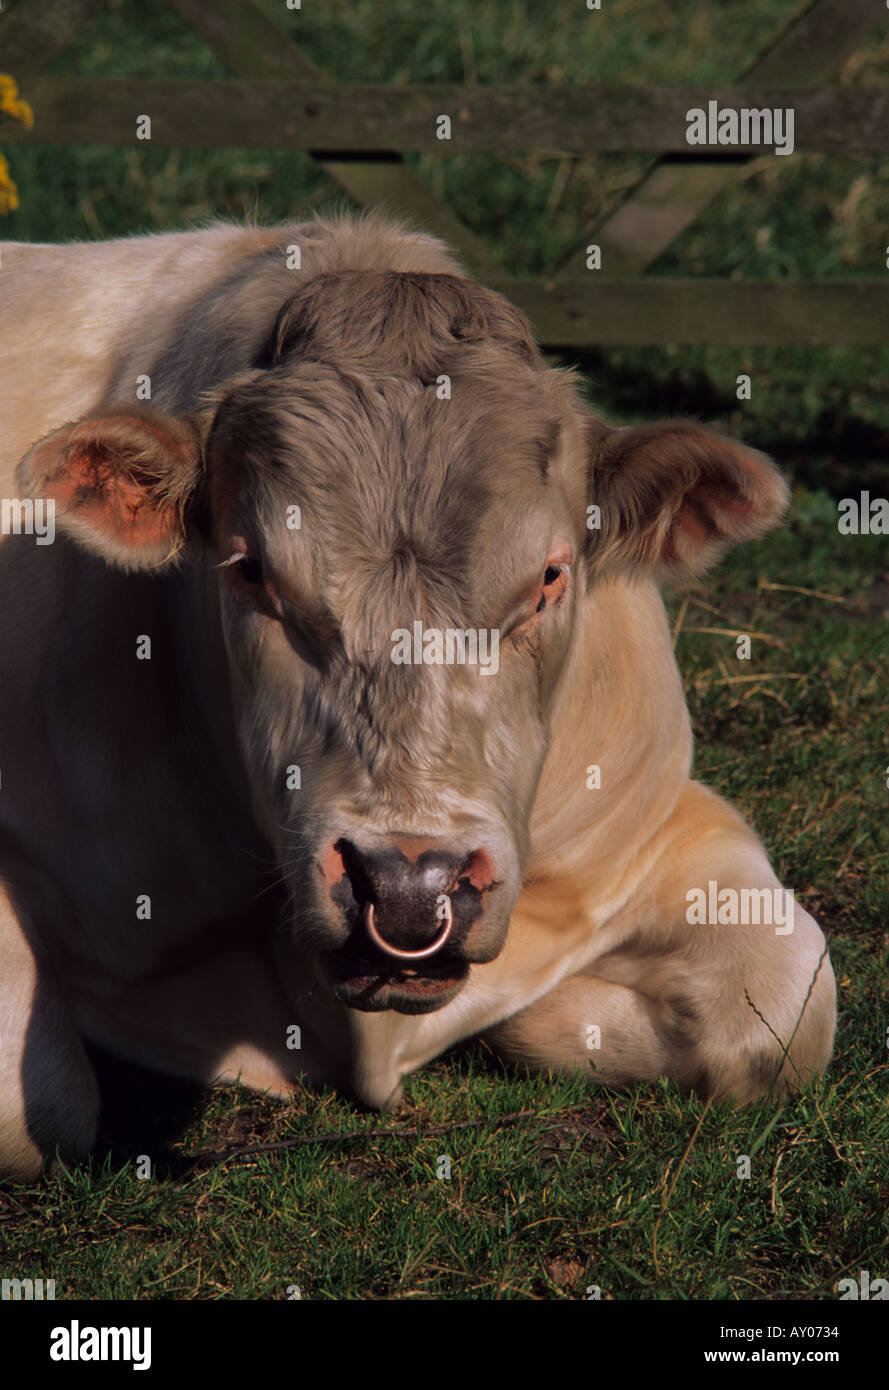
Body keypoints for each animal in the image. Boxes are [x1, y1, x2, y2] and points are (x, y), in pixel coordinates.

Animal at [0, 212, 835, 1179]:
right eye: (249, 570)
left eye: (549, 576)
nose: (406, 887)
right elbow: (35, 1098)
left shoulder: (660, 822)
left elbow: (787, 1005)